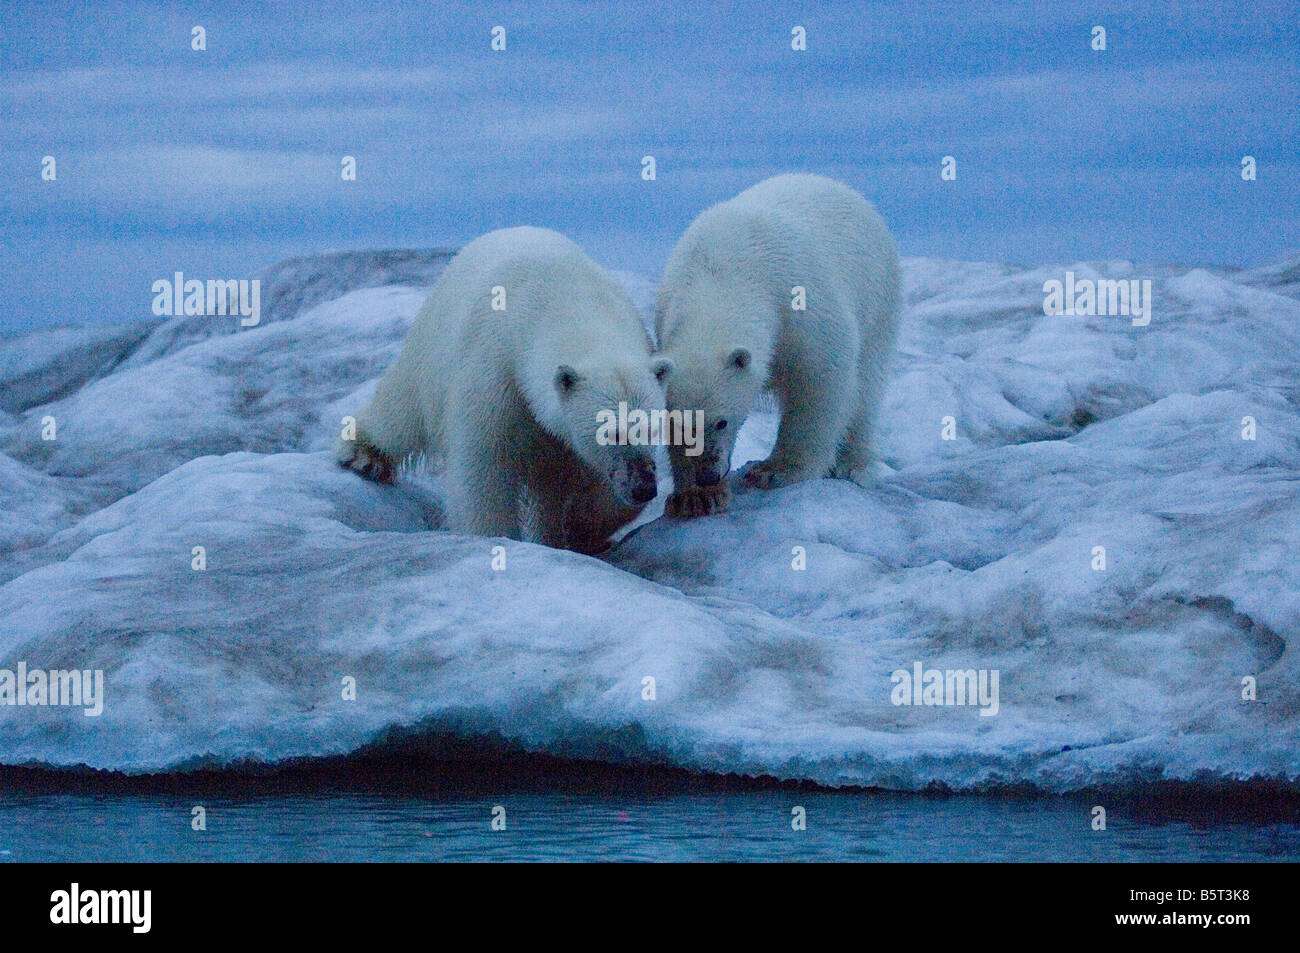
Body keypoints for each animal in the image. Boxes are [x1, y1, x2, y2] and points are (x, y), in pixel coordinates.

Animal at [339, 226, 671, 554]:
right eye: (612, 432)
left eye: (652, 428)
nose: (644, 487)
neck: (570, 306)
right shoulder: (496, 370)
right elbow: (484, 463)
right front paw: (496, 537)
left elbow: (597, 482)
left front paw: (581, 527)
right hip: (432, 348)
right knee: (402, 410)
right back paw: (363, 456)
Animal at [653, 173, 902, 517]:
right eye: (679, 425)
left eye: (721, 421)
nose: (708, 475)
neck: (719, 272)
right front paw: (696, 497)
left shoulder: (799, 304)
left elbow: (822, 380)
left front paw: (774, 471)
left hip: (879, 300)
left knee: (867, 386)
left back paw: (854, 464)